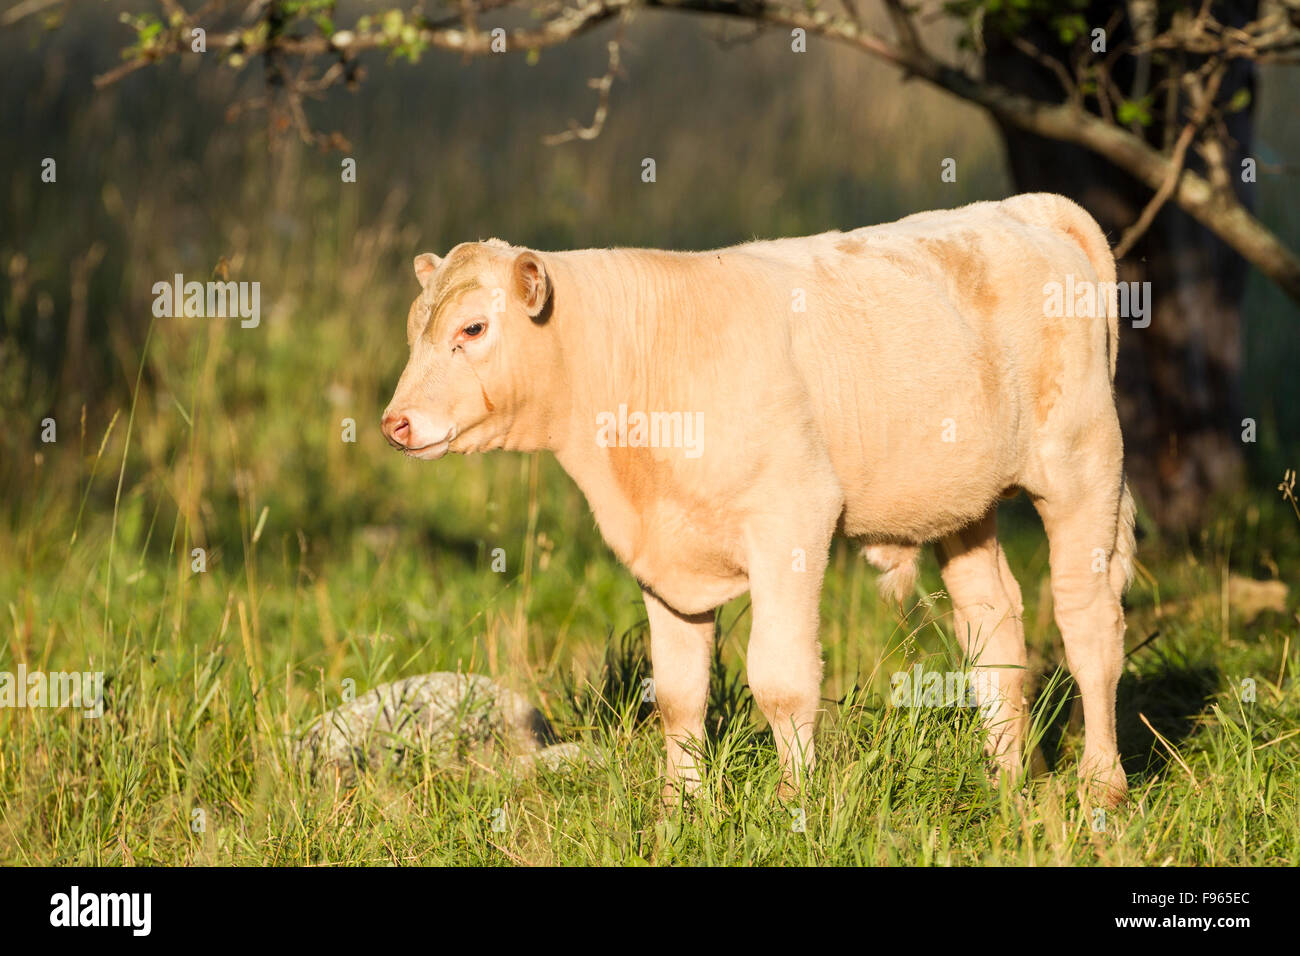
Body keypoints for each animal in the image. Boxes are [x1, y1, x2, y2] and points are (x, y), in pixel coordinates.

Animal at [382, 193, 1135, 807]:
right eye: (415, 328)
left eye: (473, 328)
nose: (395, 423)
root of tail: (1025, 209)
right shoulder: (662, 551)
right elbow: (678, 691)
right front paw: (680, 807)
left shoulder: (791, 522)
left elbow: (782, 679)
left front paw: (793, 804)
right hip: (964, 502)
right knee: (993, 627)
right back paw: (1004, 782)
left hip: (1083, 466)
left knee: (1089, 625)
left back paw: (1102, 785)